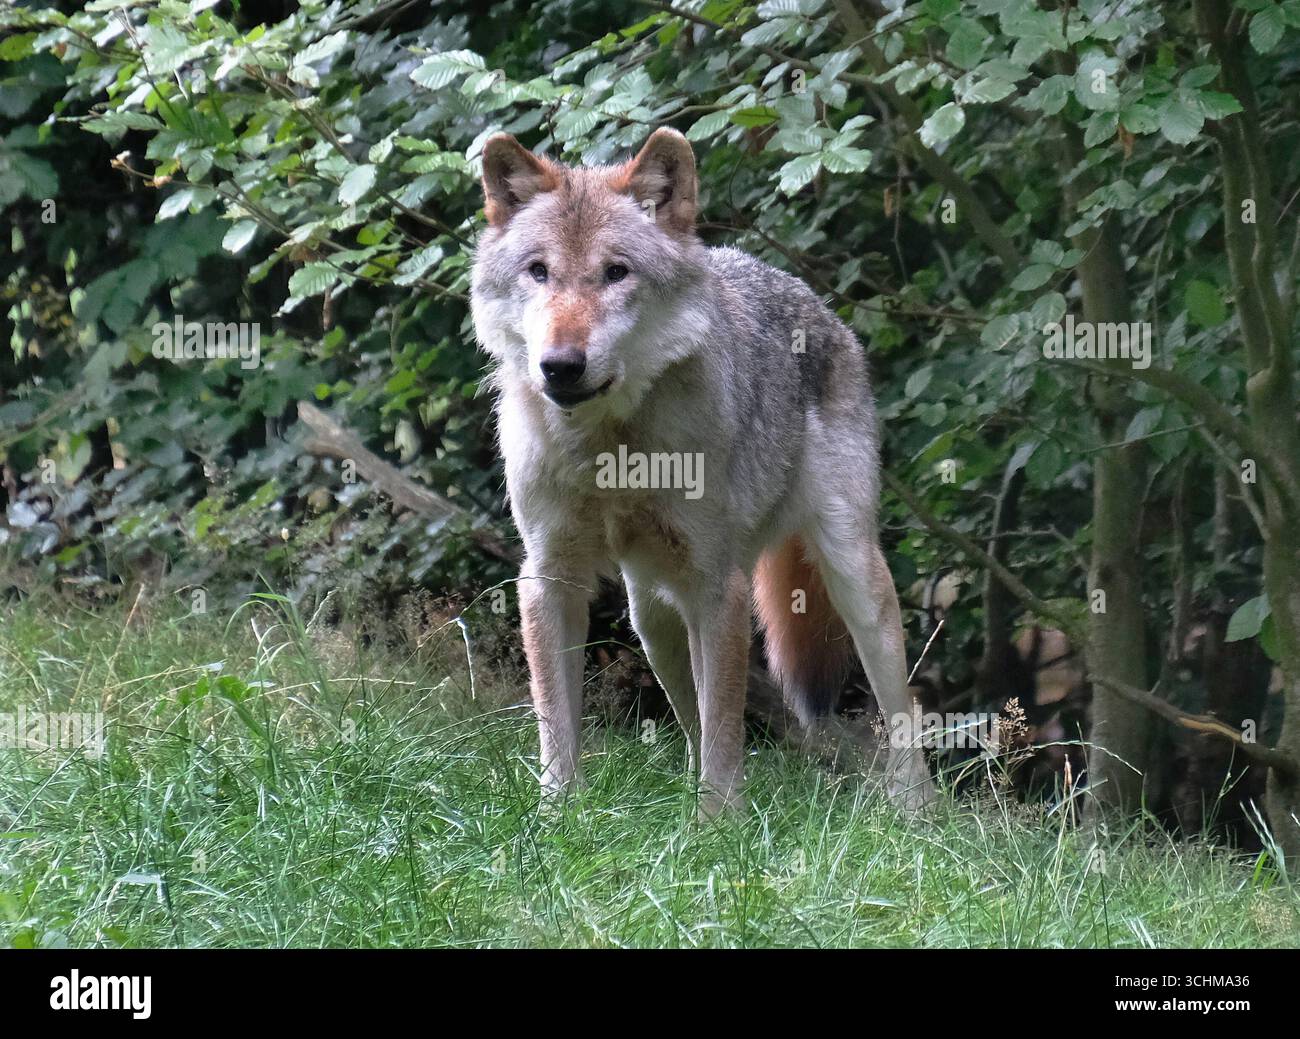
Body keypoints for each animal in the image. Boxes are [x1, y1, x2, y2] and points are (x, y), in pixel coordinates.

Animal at [470, 127, 937, 818]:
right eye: (538, 272)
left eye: (617, 272)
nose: (560, 365)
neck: (613, 450)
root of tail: (809, 296)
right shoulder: (549, 577)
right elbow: (558, 721)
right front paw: (557, 814)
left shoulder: (720, 586)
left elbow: (724, 727)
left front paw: (719, 825)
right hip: (653, 614)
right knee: (688, 715)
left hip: (851, 575)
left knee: (901, 707)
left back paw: (916, 812)